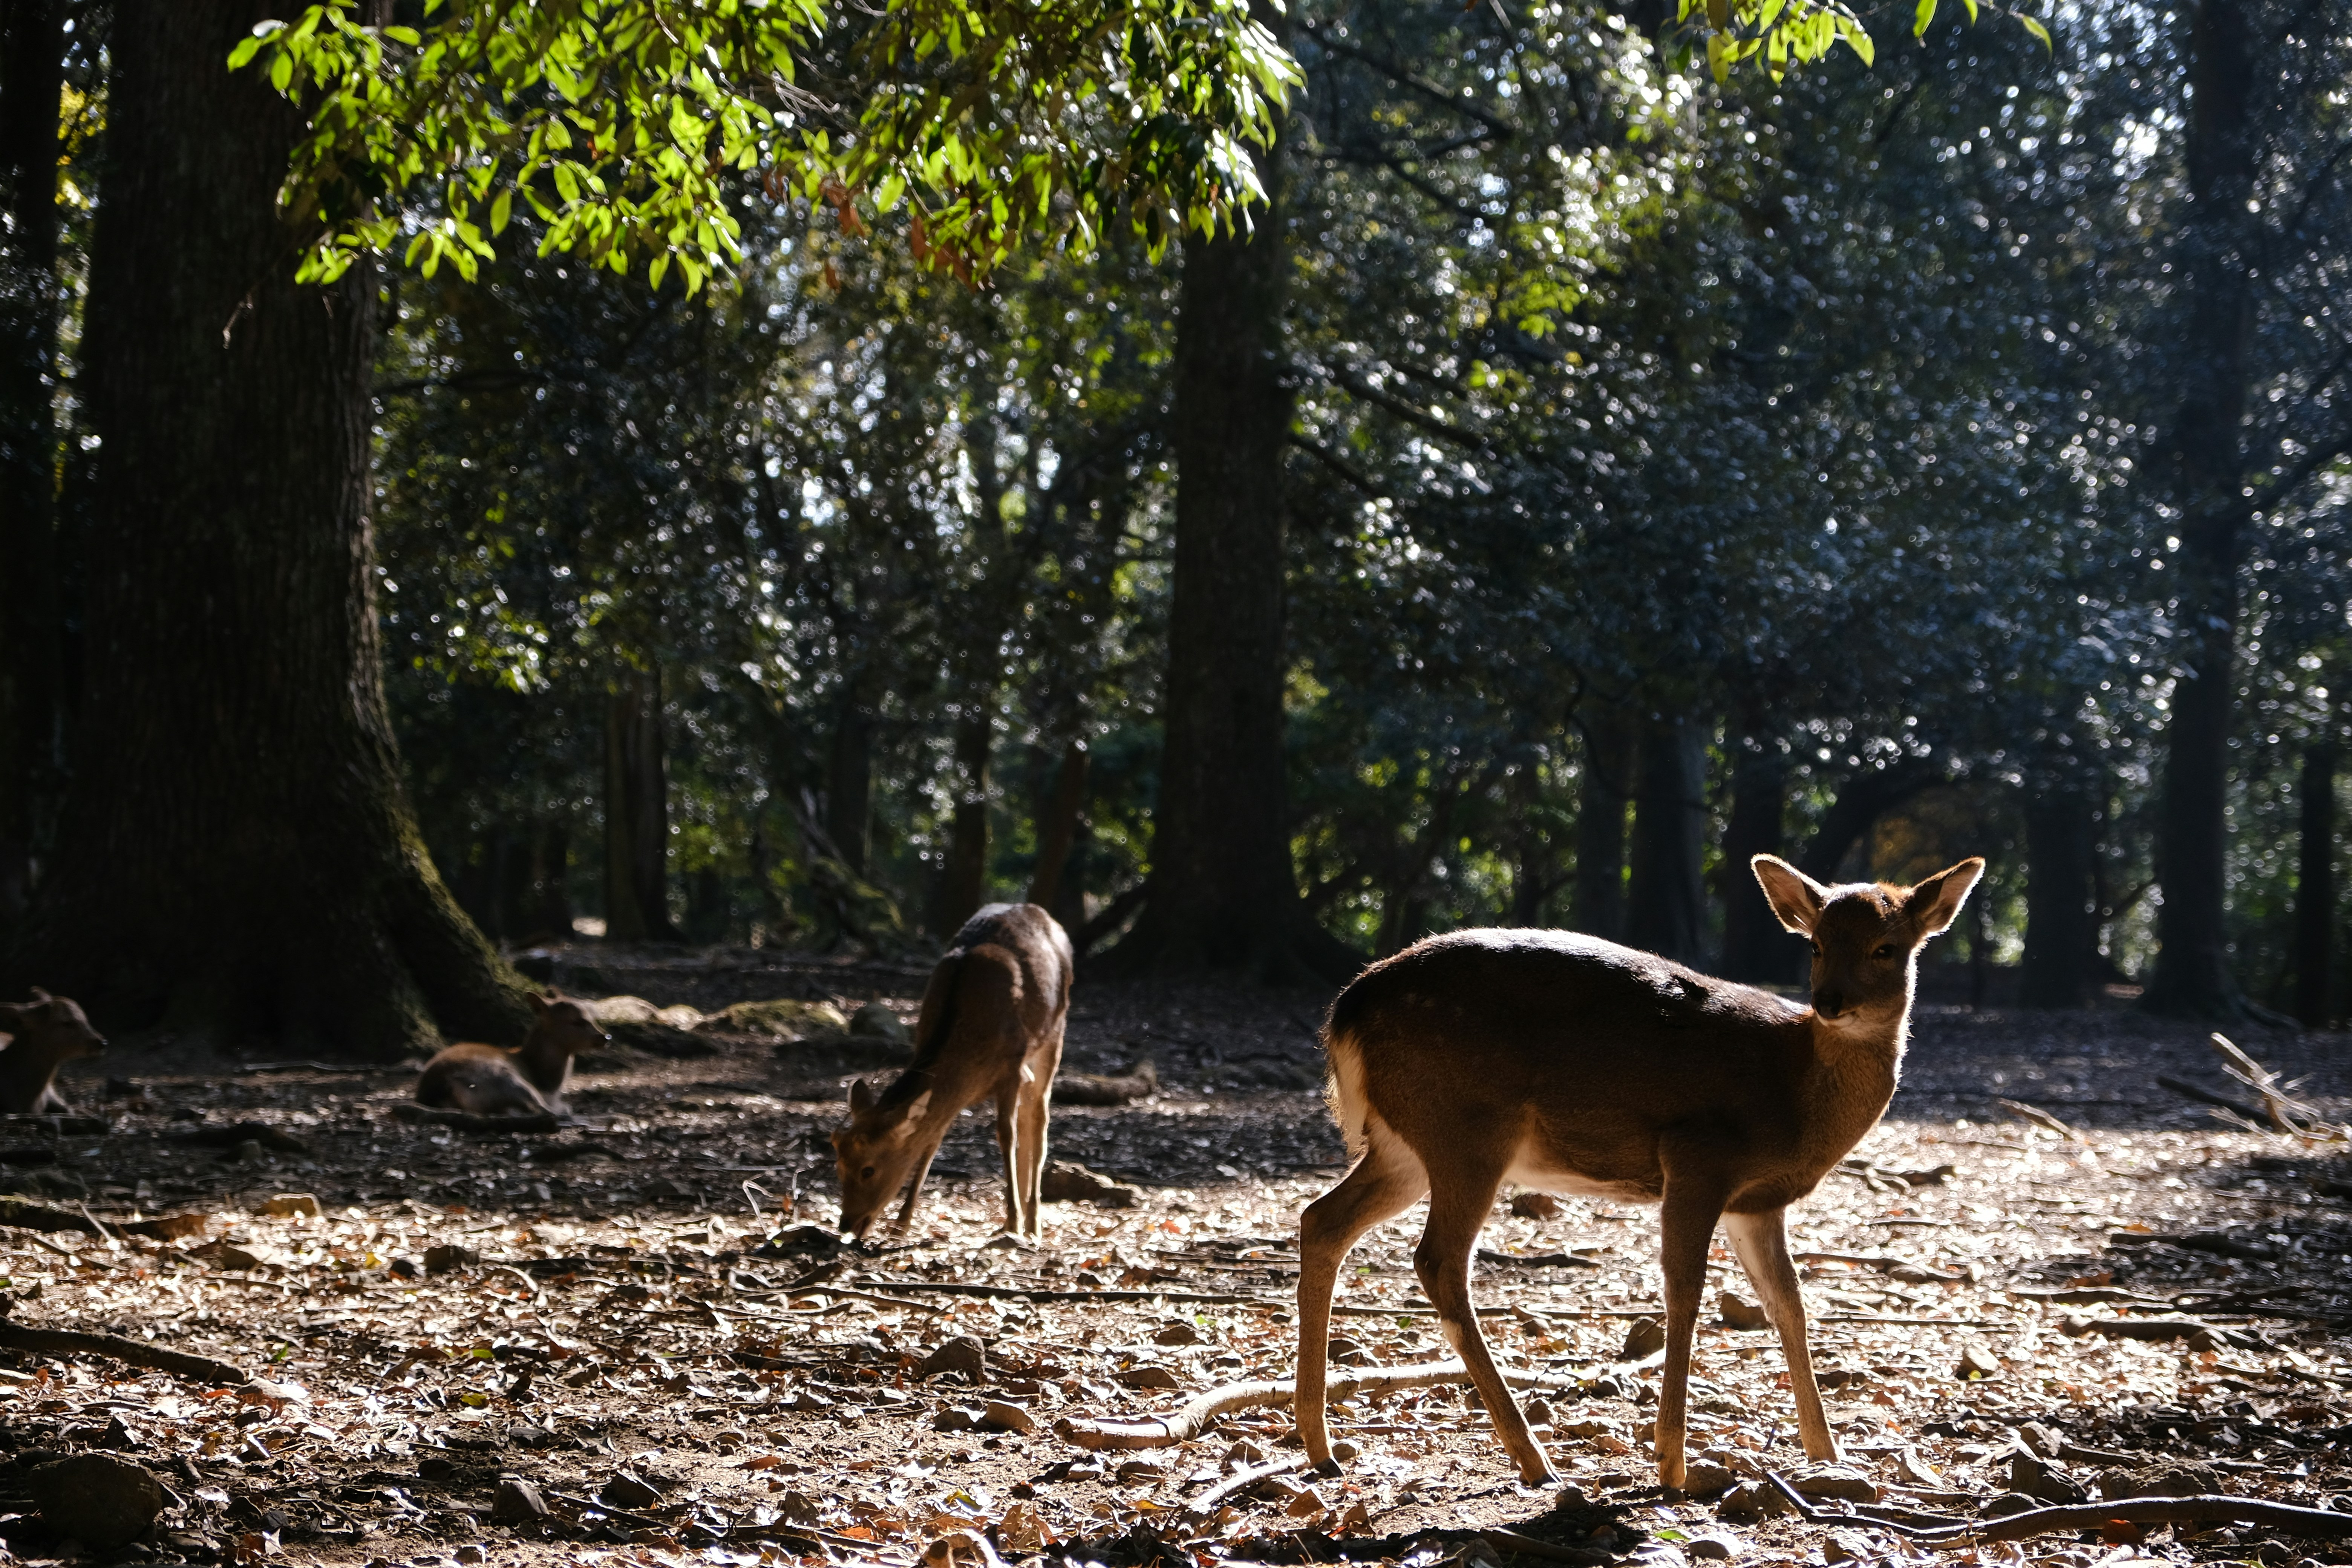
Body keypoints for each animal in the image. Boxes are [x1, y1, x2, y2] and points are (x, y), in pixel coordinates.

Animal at [415, 991, 607, 1116]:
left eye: (593, 1017)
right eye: (576, 1021)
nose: (605, 1037)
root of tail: (444, 1086)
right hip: (506, 1077)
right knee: (545, 1110)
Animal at [832, 902, 1073, 1244]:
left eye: (869, 1170)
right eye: (838, 1166)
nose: (847, 1224)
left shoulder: (1012, 1065)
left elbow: (1007, 1135)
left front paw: (1013, 1223)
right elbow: (932, 1139)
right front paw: (901, 1224)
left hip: (1055, 1032)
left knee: (1038, 1120)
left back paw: (1033, 1222)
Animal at [1296, 853, 1983, 1492]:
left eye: (1886, 948)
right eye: (1815, 943)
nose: (1830, 1003)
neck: (1796, 1091)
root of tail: (1345, 1013)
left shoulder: (1757, 1202)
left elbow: (1789, 1303)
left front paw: (1827, 1452)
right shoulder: (1697, 1157)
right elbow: (1685, 1293)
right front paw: (1672, 1462)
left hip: (1406, 1145)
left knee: (1322, 1220)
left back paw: (1320, 1445)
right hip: (1466, 1129)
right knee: (1437, 1260)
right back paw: (1533, 1458)